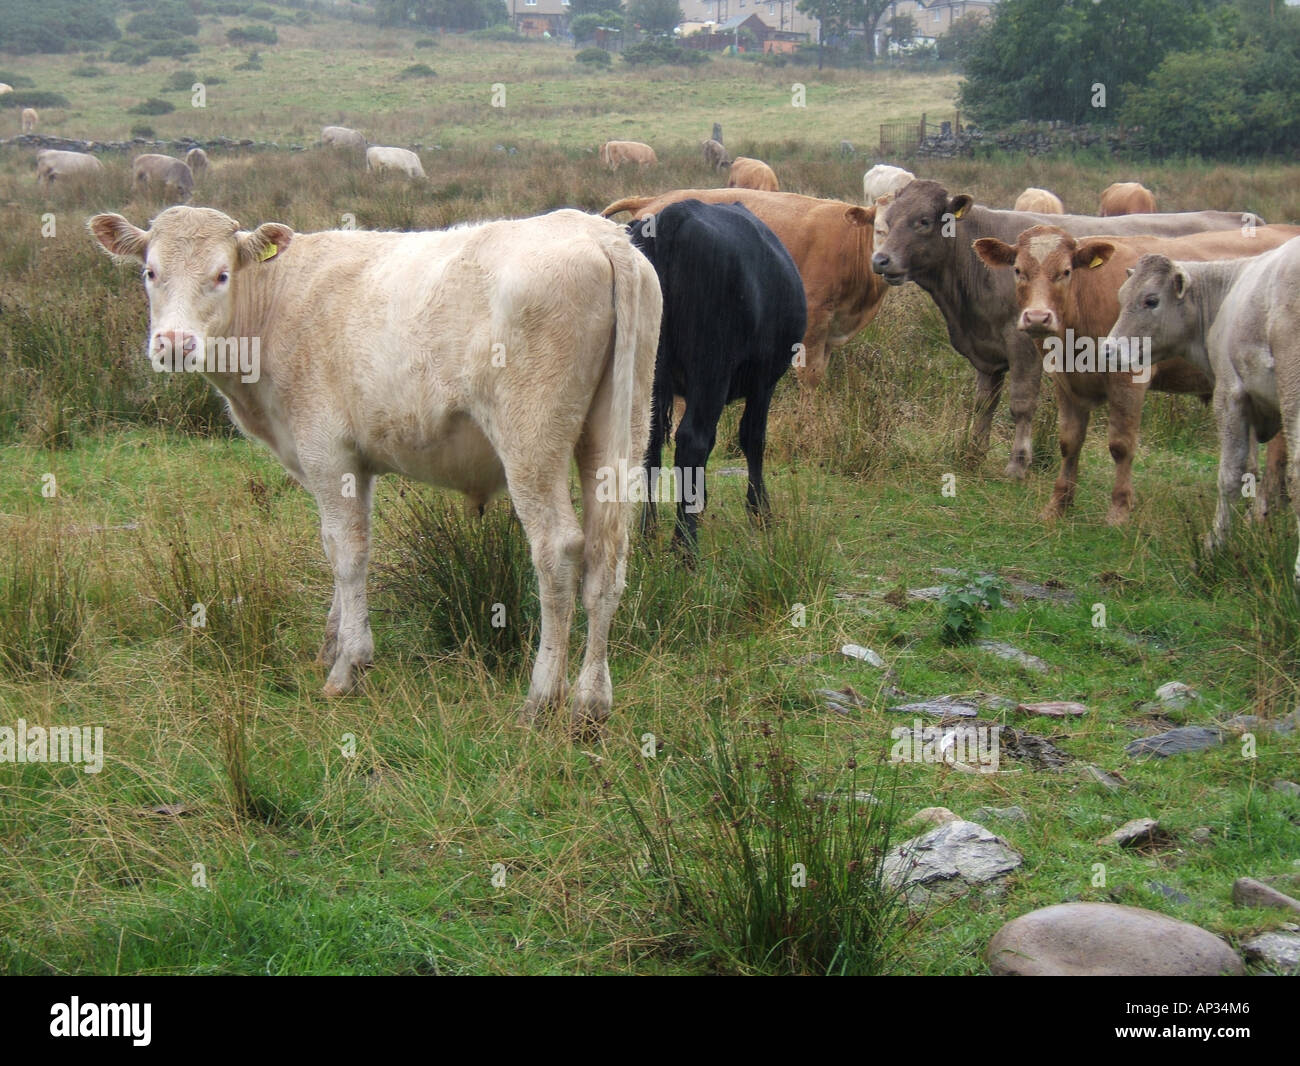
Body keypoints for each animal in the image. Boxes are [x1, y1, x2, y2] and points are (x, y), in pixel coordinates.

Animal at [87, 205, 661, 729]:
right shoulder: (350, 463)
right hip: (621, 431)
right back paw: (591, 701)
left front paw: (348, 665)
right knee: (608, 557)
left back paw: (542, 698)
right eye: (150, 272)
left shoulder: (327, 451)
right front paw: (331, 642)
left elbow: (348, 551)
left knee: (557, 548)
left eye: (221, 274)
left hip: (530, 438)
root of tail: (597, 233)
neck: (276, 305)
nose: (174, 344)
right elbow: (333, 545)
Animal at [627, 200, 807, 549]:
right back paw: (685, 546)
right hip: (711, 368)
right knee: (692, 440)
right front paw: (760, 512)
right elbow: (752, 437)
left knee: (652, 442)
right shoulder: (763, 381)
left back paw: (647, 533)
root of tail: (674, 217)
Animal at [869, 180, 1265, 477]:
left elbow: (1021, 404)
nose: (880, 259)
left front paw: (1017, 464)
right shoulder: (987, 352)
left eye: (923, 220)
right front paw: (973, 454)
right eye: (886, 221)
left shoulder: (1023, 343)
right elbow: (983, 404)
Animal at [974, 224, 1300, 522]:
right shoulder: (1065, 383)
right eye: (1018, 270)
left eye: (1065, 272)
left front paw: (1119, 510)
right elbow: (1069, 442)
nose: (1038, 317)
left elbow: (1121, 445)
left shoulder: (1129, 378)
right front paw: (1058, 505)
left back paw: (1262, 510)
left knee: (1278, 453)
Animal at [1108, 239, 1300, 581]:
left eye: (1151, 300)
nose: (1108, 349)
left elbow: (1231, 474)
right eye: (1121, 296)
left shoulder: (1230, 393)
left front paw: (1215, 544)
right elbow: (1253, 469)